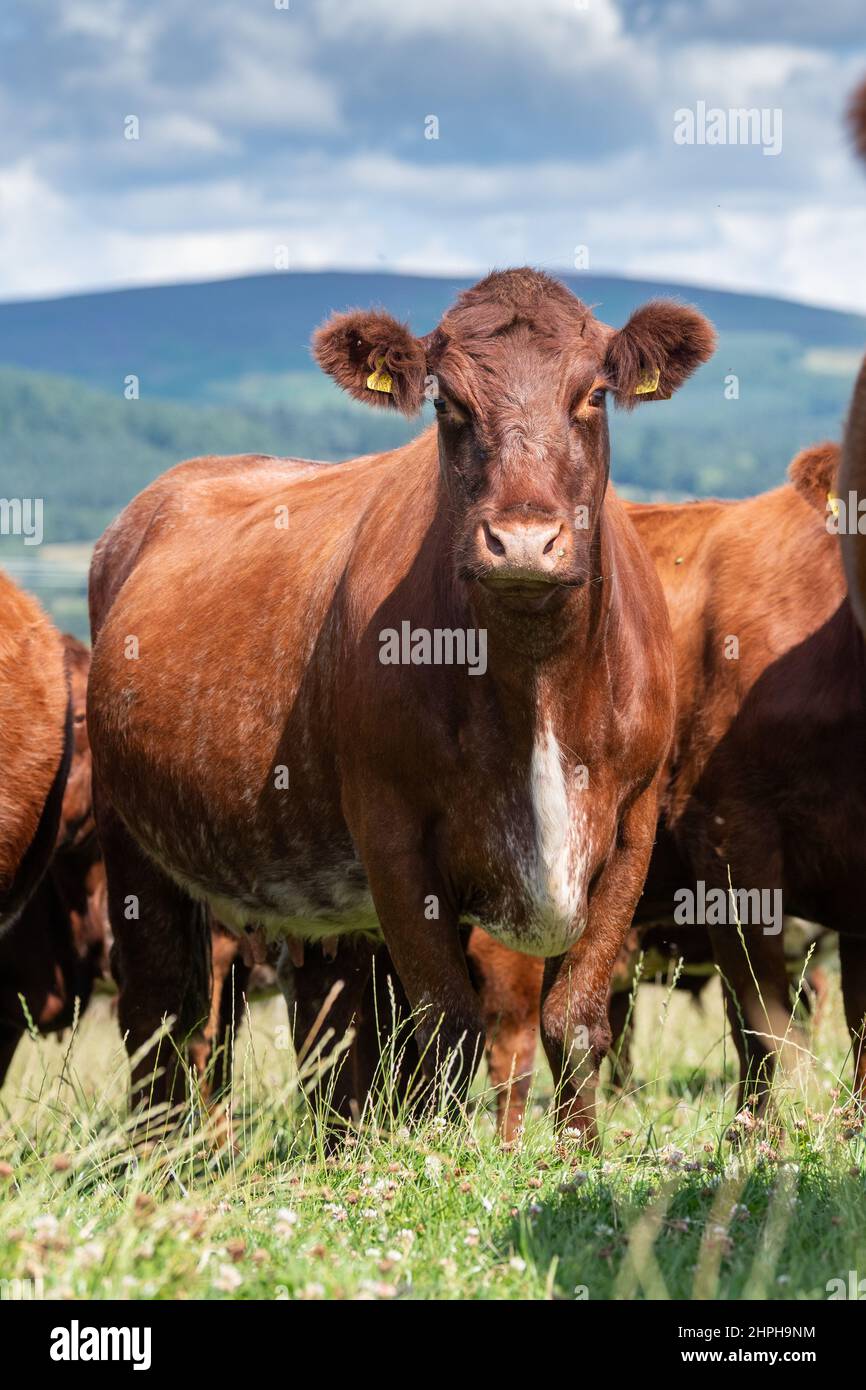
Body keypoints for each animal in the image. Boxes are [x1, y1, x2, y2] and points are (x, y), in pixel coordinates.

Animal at [87, 268, 714, 1144]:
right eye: (448, 402)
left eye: (592, 393)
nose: (523, 541)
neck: (538, 682)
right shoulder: (391, 830)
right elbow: (447, 1023)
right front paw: (443, 1155)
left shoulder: (633, 823)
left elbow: (574, 1019)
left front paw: (580, 1151)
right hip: (133, 836)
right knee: (165, 1010)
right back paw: (167, 1154)